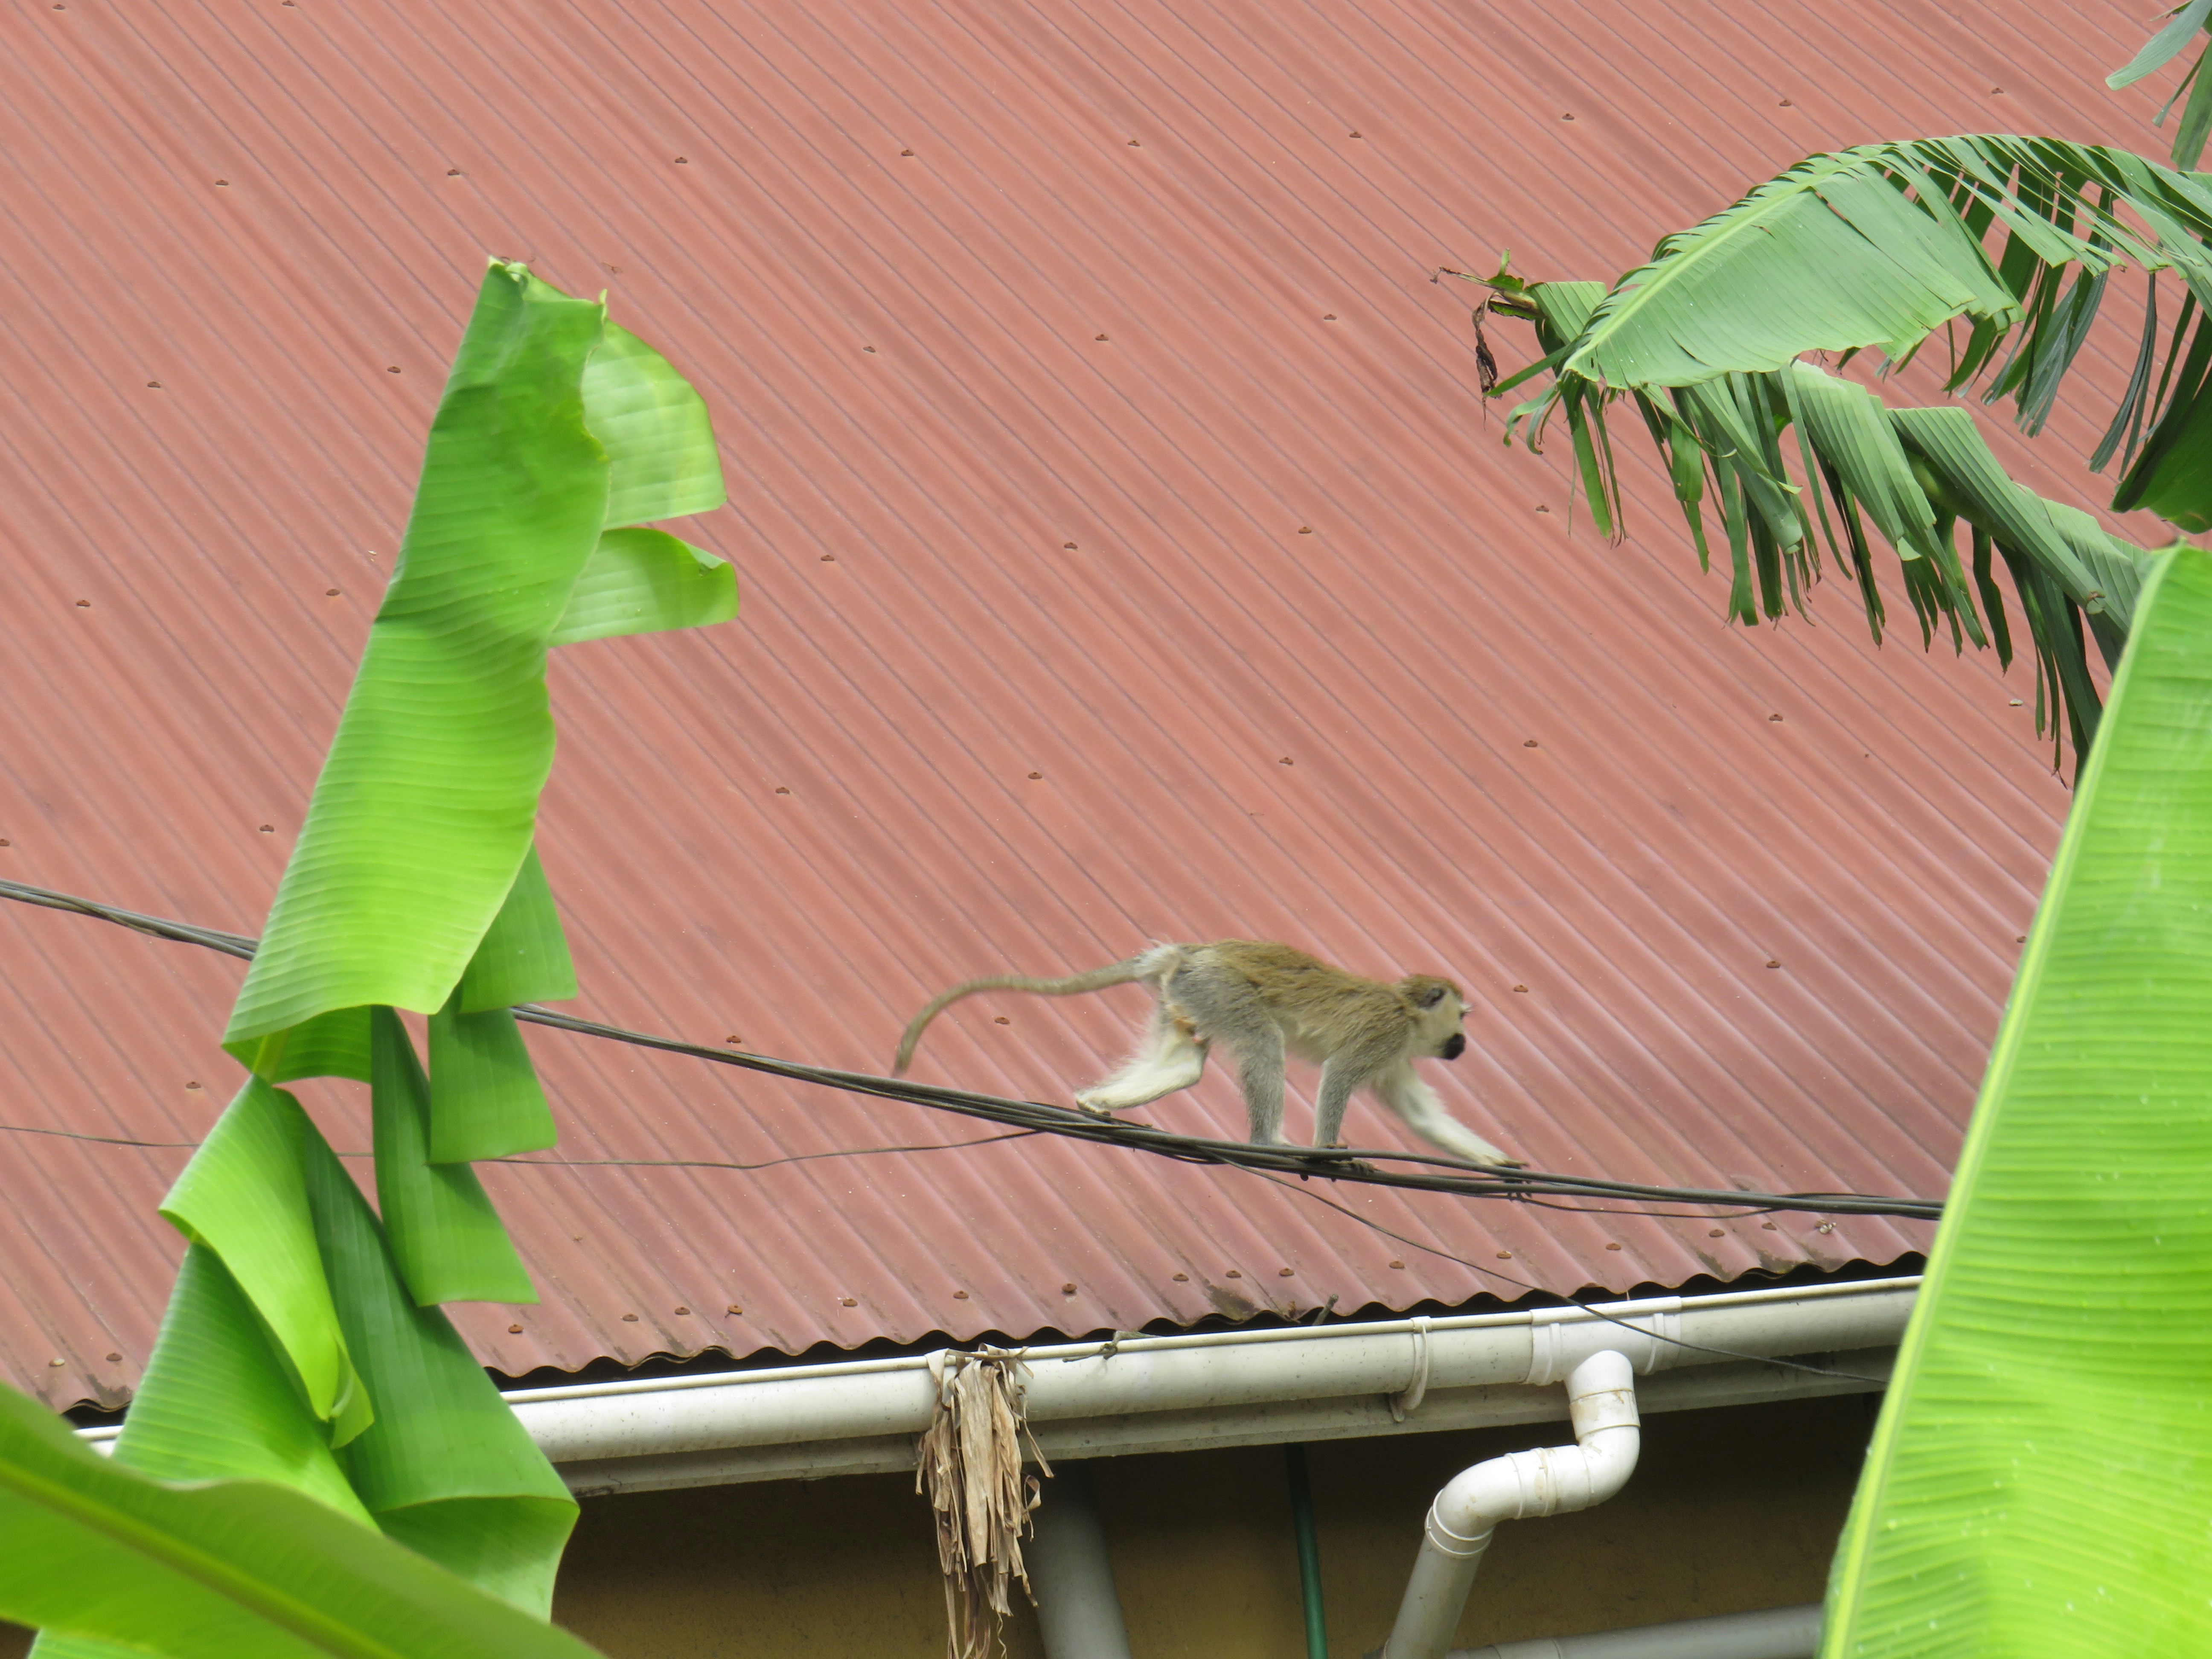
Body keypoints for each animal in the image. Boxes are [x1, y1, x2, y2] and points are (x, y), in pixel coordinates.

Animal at [893, 940, 1522, 1168]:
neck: (1407, 1012)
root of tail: (1193, 953)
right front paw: (1328, 1153)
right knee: (1264, 1042)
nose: (1464, 1042)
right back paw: (1270, 1144)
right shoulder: (1383, 1039)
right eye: (1461, 1018)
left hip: (1187, 997)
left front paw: (1501, 1166)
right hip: (1223, 990)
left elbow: (1422, 1117)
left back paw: (1094, 1101)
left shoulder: (1396, 1058)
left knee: (1186, 1063)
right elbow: (1340, 1074)